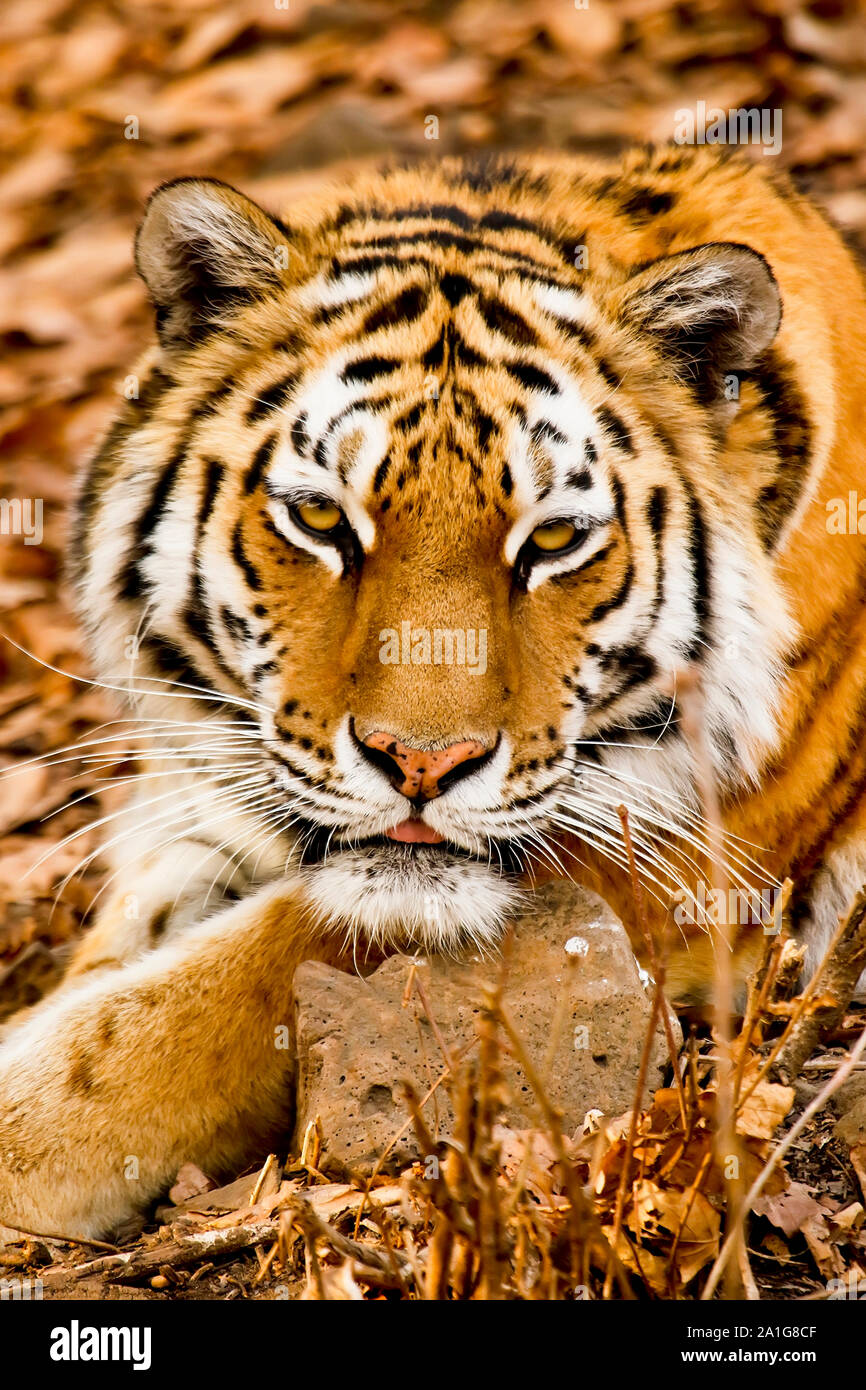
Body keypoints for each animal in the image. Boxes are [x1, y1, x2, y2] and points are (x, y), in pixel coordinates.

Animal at [2, 145, 866, 1241]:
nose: (421, 764)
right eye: (322, 519)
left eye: (553, 537)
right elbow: (115, 969)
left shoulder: (663, 872)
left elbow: (170, 1017)